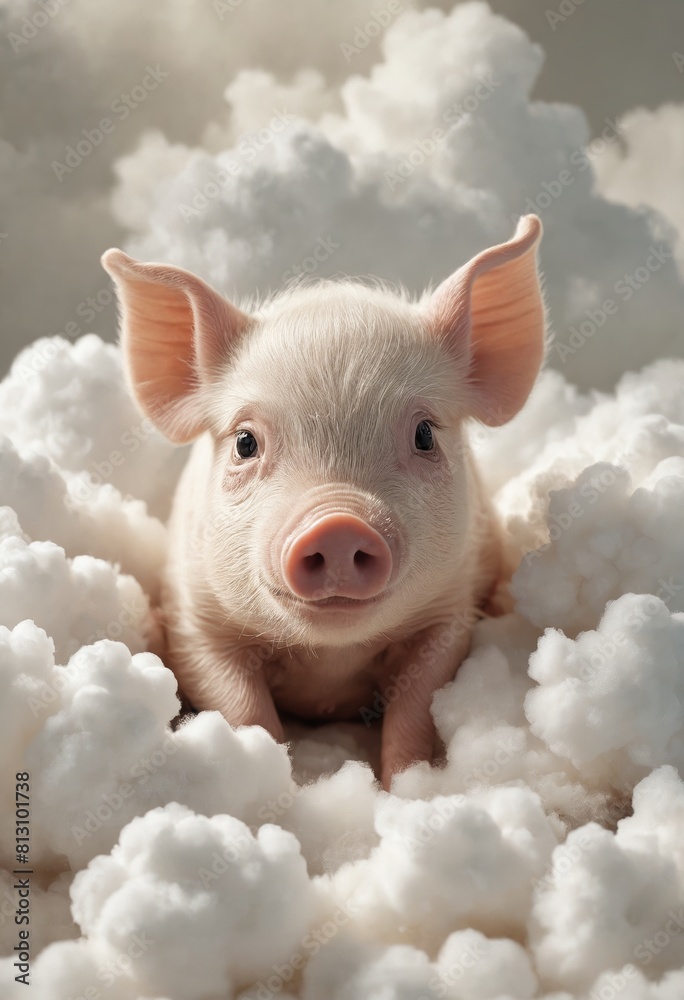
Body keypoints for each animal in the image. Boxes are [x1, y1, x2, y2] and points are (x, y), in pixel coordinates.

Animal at [101, 214, 545, 788]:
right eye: (245, 442)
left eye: (425, 434)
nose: (337, 525)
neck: (330, 661)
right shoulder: (194, 617)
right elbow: (242, 707)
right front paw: (279, 781)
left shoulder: (450, 611)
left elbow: (417, 704)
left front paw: (405, 787)